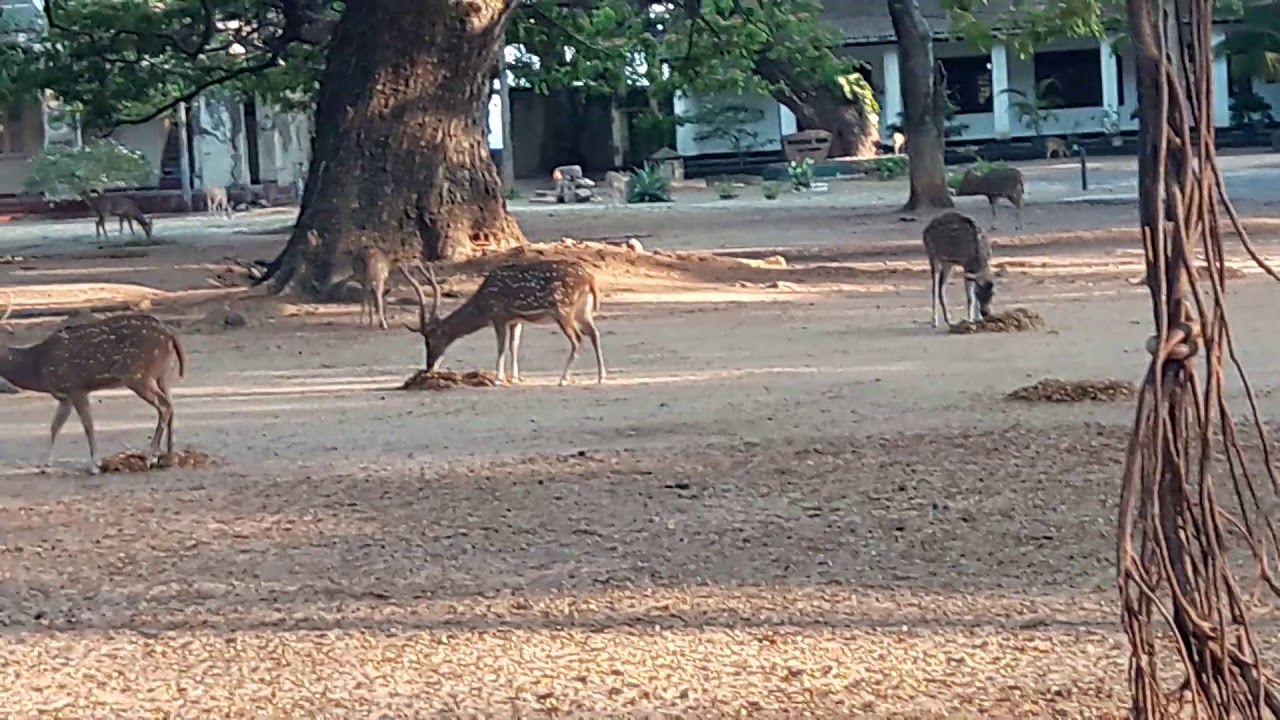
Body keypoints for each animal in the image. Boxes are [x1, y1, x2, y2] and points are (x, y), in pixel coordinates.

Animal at [0, 306, 186, 474]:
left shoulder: (76, 387)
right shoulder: (65, 396)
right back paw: (169, 458)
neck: (38, 368)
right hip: (161, 374)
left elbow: (88, 426)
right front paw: (45, 465)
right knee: (171, 406)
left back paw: (150, 455)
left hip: (137, 374)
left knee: (164, 406)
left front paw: (94, 466)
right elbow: (55, 426)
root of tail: (170, 334)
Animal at [399, 259, 606, 386]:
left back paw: (563, 379)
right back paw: (601, 376)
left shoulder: (499, 315)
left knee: (577, 339)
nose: (429, 367)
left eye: (429, 341)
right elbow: (514, 346)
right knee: (594, 333)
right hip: (583, 310)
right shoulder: (515, 320)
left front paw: (498, 377)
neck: (483, 305)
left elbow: (501, 346)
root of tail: (590, 279)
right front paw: (514, 377)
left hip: (563, 309)